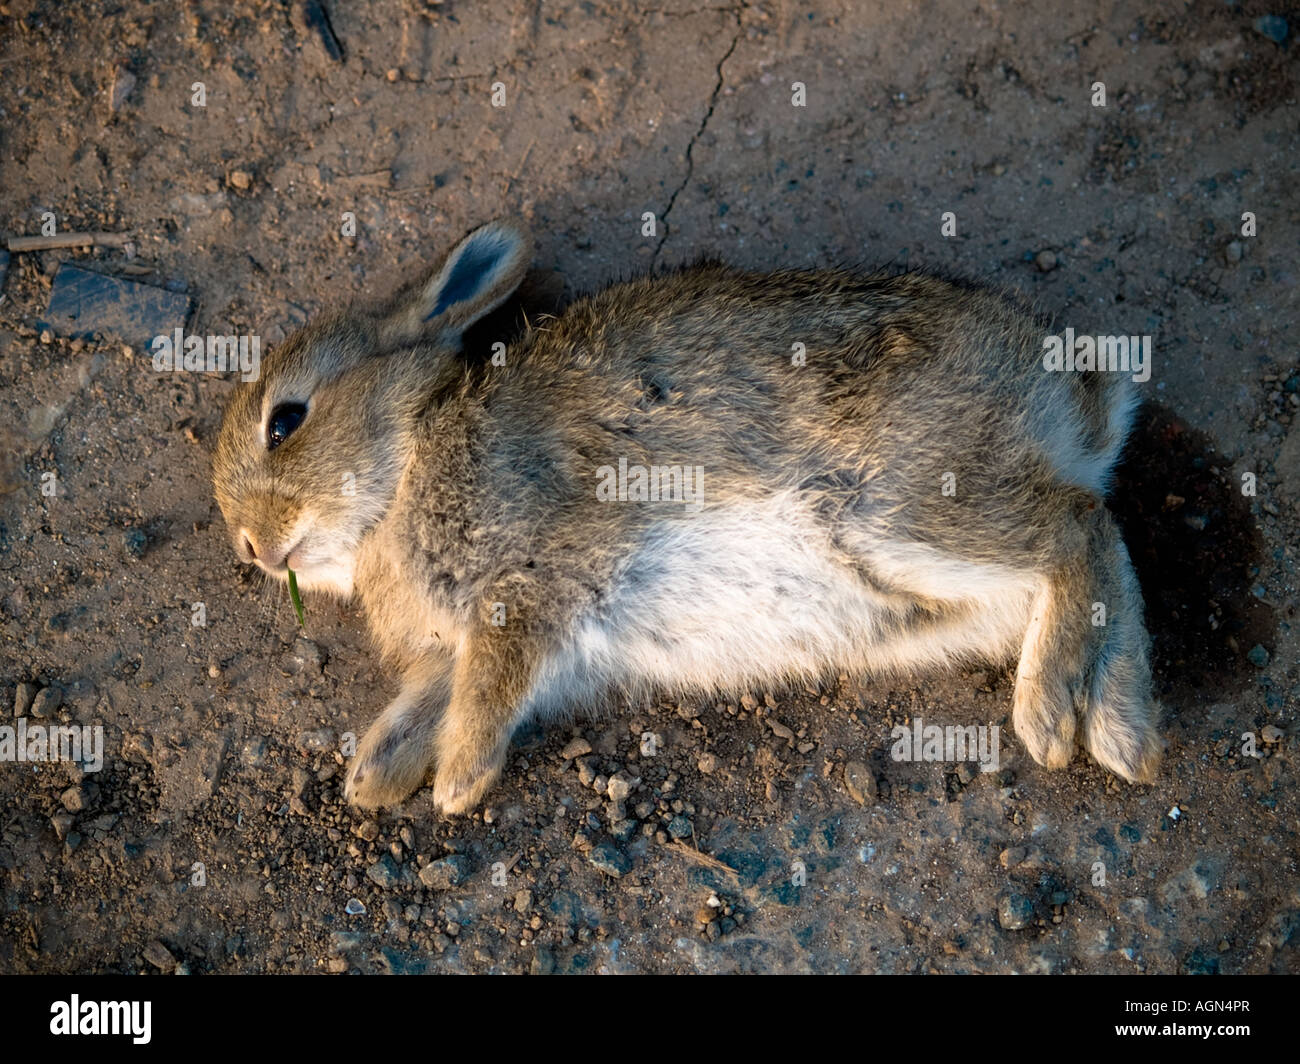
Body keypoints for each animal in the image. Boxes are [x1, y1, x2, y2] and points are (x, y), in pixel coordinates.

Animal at [212, 218, 1163, 815]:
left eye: (285, 421)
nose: (253, 548)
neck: (409, 457)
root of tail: (1073, 398)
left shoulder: (536, 576)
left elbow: (490, 681)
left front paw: (457, 782)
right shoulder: (484, 646)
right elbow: (436, 699)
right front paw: (375, 776)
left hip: (898, 508)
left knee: (1079, 527)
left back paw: (1055, 720)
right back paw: (1123, 730)